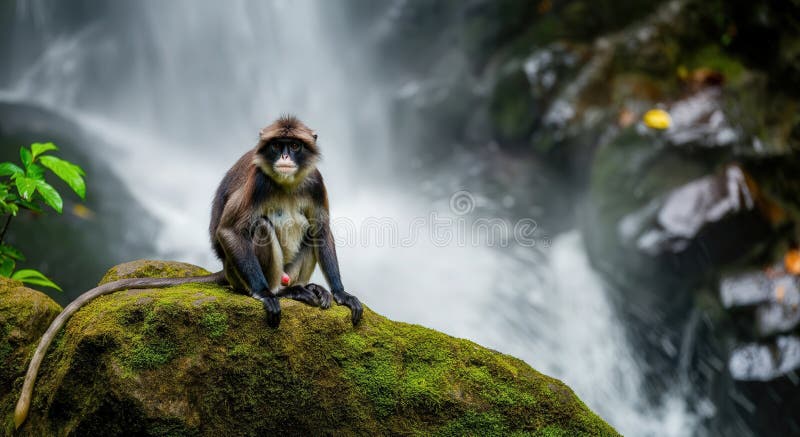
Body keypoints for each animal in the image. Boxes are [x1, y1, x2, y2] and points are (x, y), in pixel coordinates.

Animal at [14, 115, 362, 429]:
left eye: (295, 146)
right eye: (278, 146)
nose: (286, 157)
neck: (287, 183)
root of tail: (226, 270)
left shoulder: (314, 182)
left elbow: (321, 229)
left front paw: (341, 293)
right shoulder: (259, 182)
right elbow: (229, 230)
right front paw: (265, 294)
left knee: (309, 231)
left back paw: (304, 288)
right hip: (241, 273)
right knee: (261, 226)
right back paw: (283, 291)